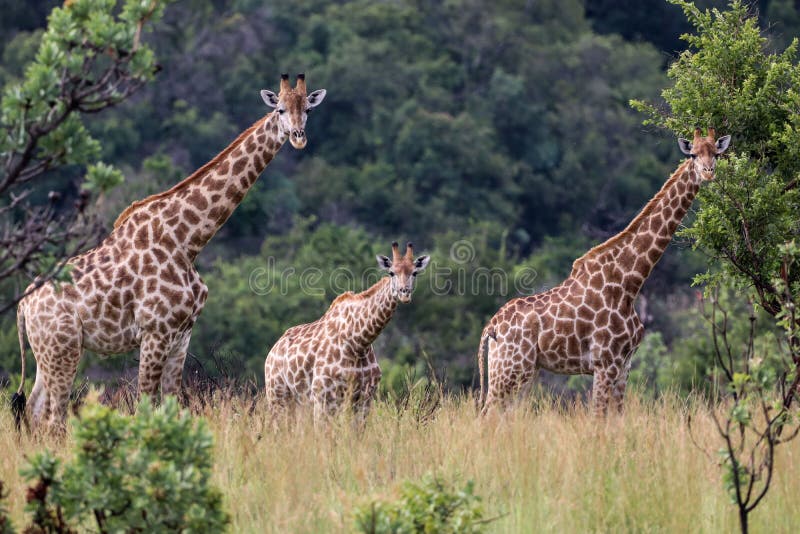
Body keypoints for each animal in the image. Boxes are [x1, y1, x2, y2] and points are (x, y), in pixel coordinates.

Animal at [12, 74, 326, 434]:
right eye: (279, 109)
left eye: (307, 109)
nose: (298, 138)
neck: (187, 241)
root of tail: (23, 304)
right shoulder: (155, 333)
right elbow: (145, 406)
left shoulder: (181, 335)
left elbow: (175, 406)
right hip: (62, 348)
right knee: (53, 418)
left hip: (45, 352)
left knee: (35, 410)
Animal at [264, 242, 430, 420]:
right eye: (391, 272)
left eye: (415, 272)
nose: (404, 293)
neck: (359, 342)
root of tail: (272, 351)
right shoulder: (323, 395)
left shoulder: (364, 397)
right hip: (278, 396)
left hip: (298, 403)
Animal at [477, 128, 731, 415]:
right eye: (693, 154)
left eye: (716, 153)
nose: (708, 172)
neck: (629, 282)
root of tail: (490, 327)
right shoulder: (604, 363)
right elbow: (597, 416)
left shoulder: (624, 364)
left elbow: (616, 417)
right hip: (509, 369)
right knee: (486, 415)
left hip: (524, 371)